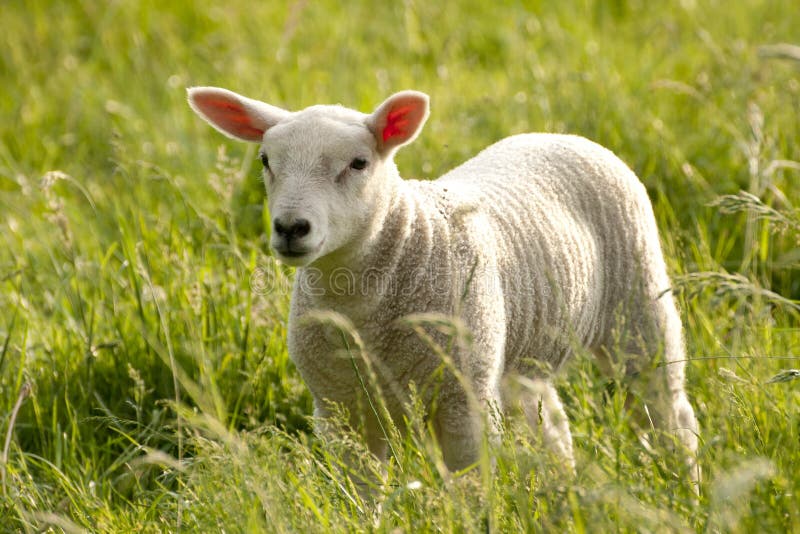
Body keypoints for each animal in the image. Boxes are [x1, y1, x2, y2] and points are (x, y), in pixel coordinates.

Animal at [187, 87, 700, 488]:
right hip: (520, 352)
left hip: (638, 307)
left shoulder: (463, 401)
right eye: (265, 161)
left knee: (669, 412)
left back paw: (686, 487)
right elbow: (362, 493)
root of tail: (558, 135)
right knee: (551, 422)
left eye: (358, 163)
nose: (291, 228)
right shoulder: (339, 410)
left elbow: (471, 486)